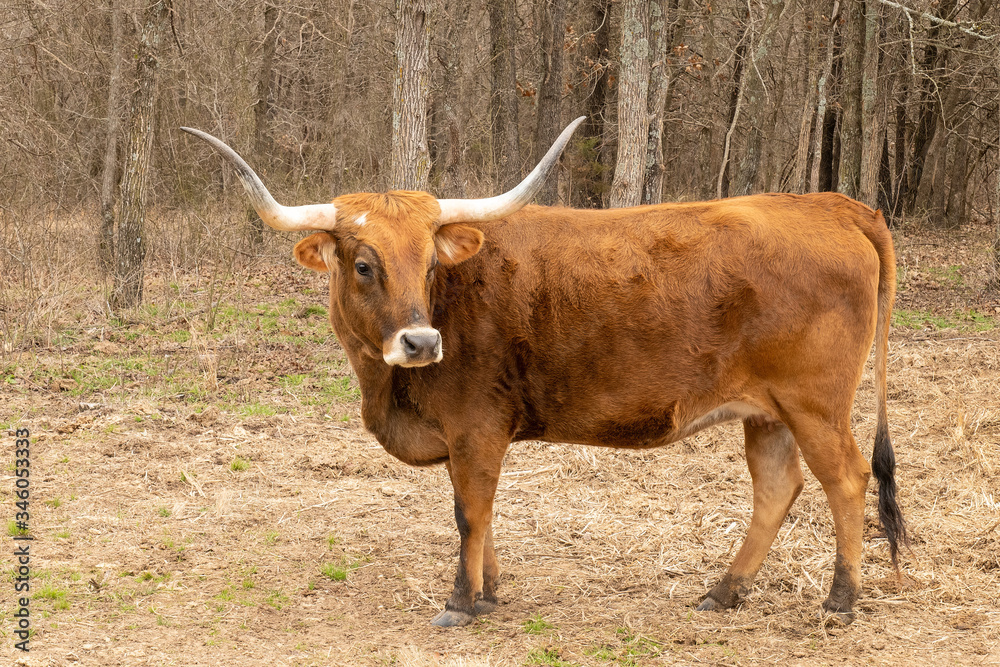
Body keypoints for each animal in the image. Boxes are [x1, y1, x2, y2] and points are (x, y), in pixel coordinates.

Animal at [182, 117, 906, 627]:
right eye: (363, 263)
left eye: (429, 262)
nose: (420, 341)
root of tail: (833, 205)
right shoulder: (464, 436)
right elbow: (479, 509)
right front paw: (490, 591)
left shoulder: (476, 425)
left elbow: (469, 512)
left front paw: (461, 601)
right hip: (767, 411)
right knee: (777, 488)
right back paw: (724, 591)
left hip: (814, 404)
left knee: (846, 480)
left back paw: (840, 601)